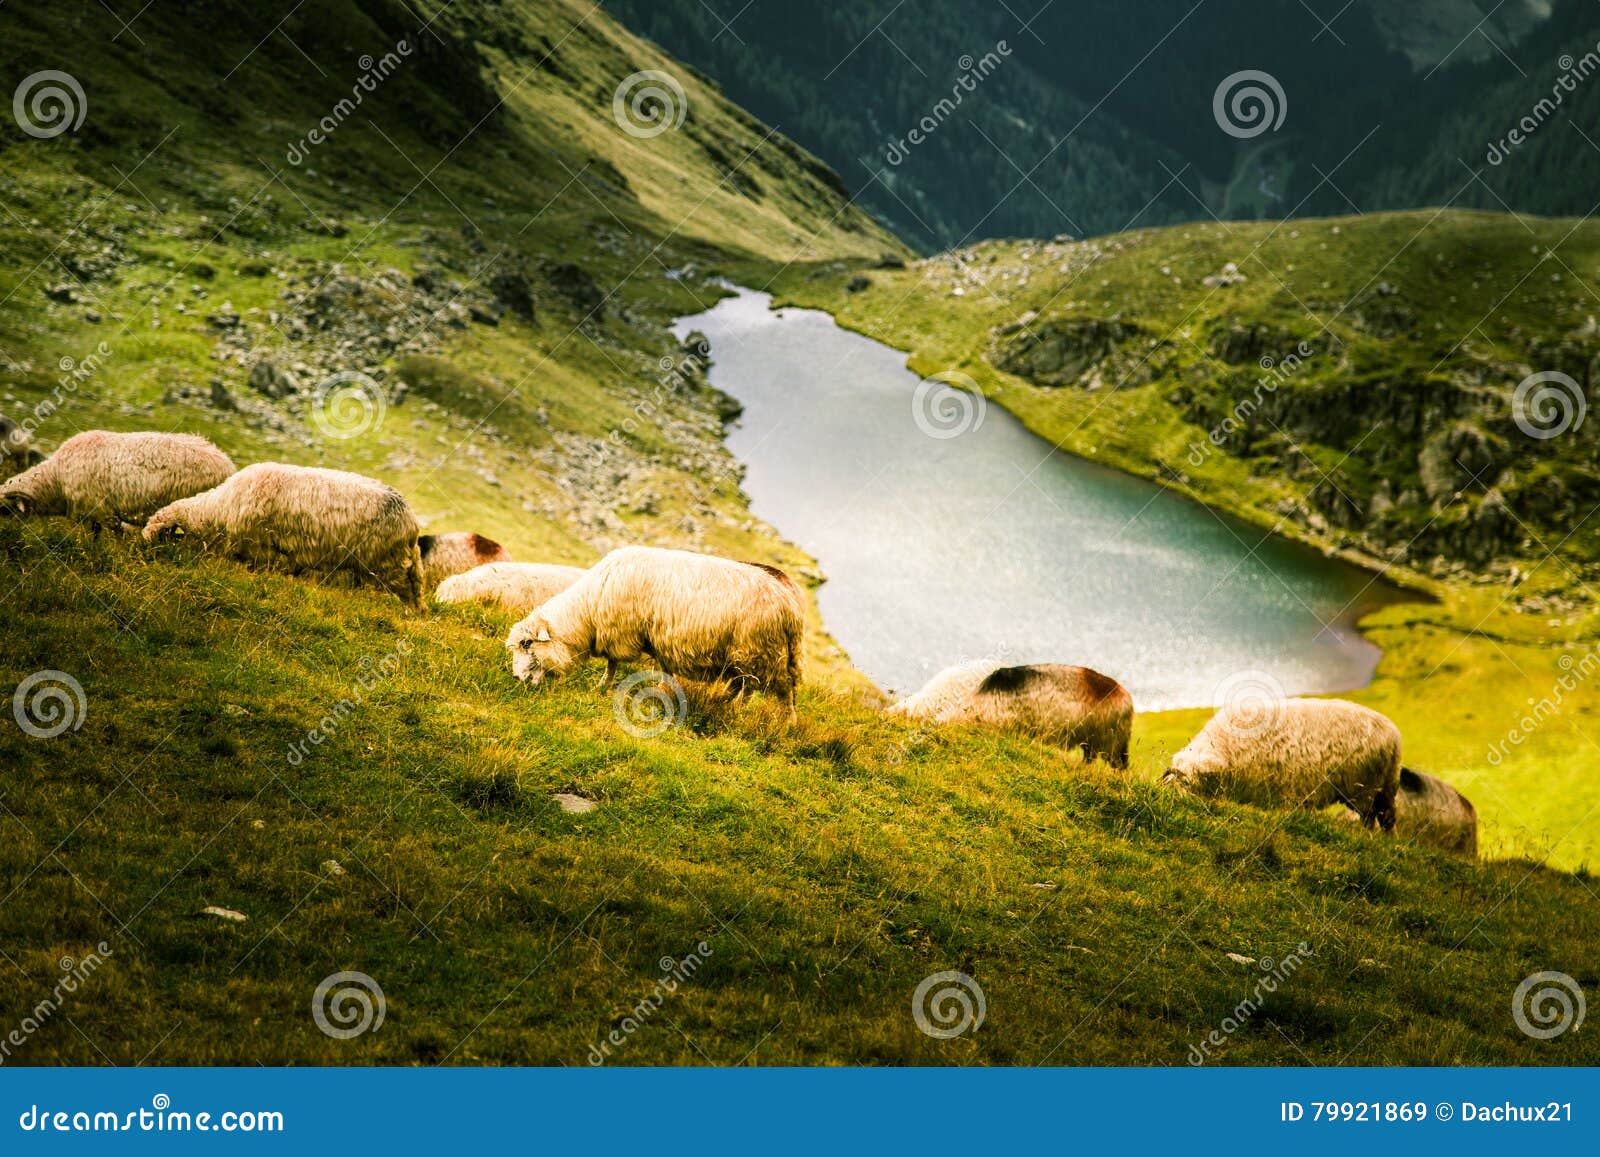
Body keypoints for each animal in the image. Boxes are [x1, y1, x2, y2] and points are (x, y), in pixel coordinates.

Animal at [143, 462, 422, 605]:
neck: (217, 510)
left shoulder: (260, 550)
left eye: (159, 538)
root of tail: (410, 518)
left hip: (387, 567)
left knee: (404, 596)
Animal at [504, 546, 804, 712]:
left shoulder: (621, 631)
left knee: (778, 690)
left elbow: (613, 664)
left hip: (761, 651)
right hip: (745, 654)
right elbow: (662, 669)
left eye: (527, 644)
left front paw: (603, 686)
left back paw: (780, 721)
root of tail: (790, 604)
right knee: (743, 685)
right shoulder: (655, 638)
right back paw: (725, 705)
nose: (517, 679)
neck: (589, 607)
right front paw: (662, 692)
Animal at [1162, 697, 1400, 830]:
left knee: (1369, 819)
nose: (1184, 805)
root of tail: (1393, 734)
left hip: (1364, 788)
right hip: (1384, 787)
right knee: (1387, 817)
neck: (1226, 747)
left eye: (1190, 784)